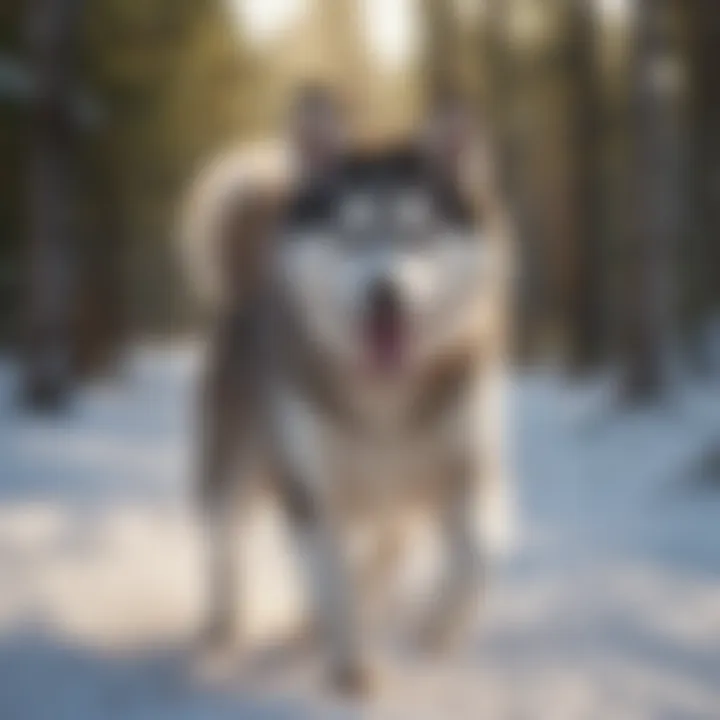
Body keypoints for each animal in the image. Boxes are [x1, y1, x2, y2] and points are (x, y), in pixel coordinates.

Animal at [183, 87, 516, 696]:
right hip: (236, 465)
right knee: (227, 544)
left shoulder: (460, 469)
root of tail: (248, 283)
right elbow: (329, 580)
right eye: (349, 232)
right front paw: (349, 663)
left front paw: (438, 628)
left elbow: (477, 559)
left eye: (418, 232)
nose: (385, 295)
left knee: (386, 549)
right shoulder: (309, 486)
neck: (384, 398)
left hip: (396, 498)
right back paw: (225, 622)